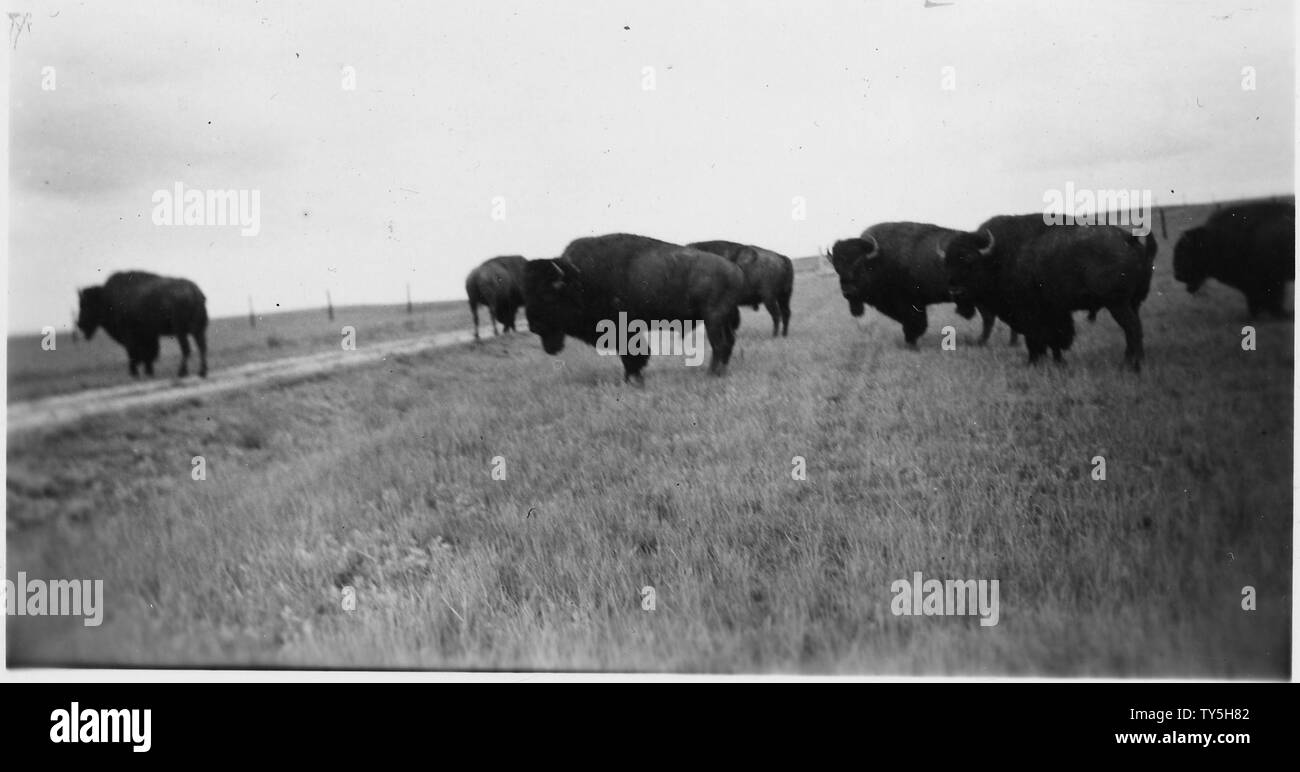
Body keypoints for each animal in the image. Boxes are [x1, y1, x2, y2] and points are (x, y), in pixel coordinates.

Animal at [76, 271, 209, 378]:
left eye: (85, 305)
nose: (80, 324)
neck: (106, 298)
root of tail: (195, 290)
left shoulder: (130, 334)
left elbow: (135, 351)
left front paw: (134, 372)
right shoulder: (149, 335)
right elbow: (148, 353)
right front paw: (148, 371)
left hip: (180, 331)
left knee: (186, 348)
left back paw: (182, 372)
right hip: (197, 330)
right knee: (201, 347)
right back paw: (201, 372)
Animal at [523, 233, 744, 383]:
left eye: (547, 295)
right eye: (527, 295)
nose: (534, 326)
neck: (580, 279)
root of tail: (735, 270)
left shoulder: (623, 330)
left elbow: (632, 354)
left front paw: (631, 380)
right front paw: (632, 378)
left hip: (713, 318)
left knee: (719, 345)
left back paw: (712, 374)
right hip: (721, 320)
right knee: (728, 343)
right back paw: (718, 372)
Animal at [828, 222, 1012, 346]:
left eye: (859, 265)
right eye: (837, 268)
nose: (848, 292)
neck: (881, 258)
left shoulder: (910, 303)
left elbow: (915, 324)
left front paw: (912, 344)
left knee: (989, 317)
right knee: (989, 317)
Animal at [942, 215, 1158, 371]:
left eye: (969, 261)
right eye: (948, 263)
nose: (955, 292)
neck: (998, 257)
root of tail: (1128, 238)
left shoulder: (1030, 313)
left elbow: (1038, 339)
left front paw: (1033, 362)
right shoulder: (1055, 312)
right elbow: (1055, 339)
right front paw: (1057, 362)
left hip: (1117, 304)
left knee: (1132, 329)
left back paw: (1134, 365)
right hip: (1132, 303)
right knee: (1133, 330)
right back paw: (1128, 361)